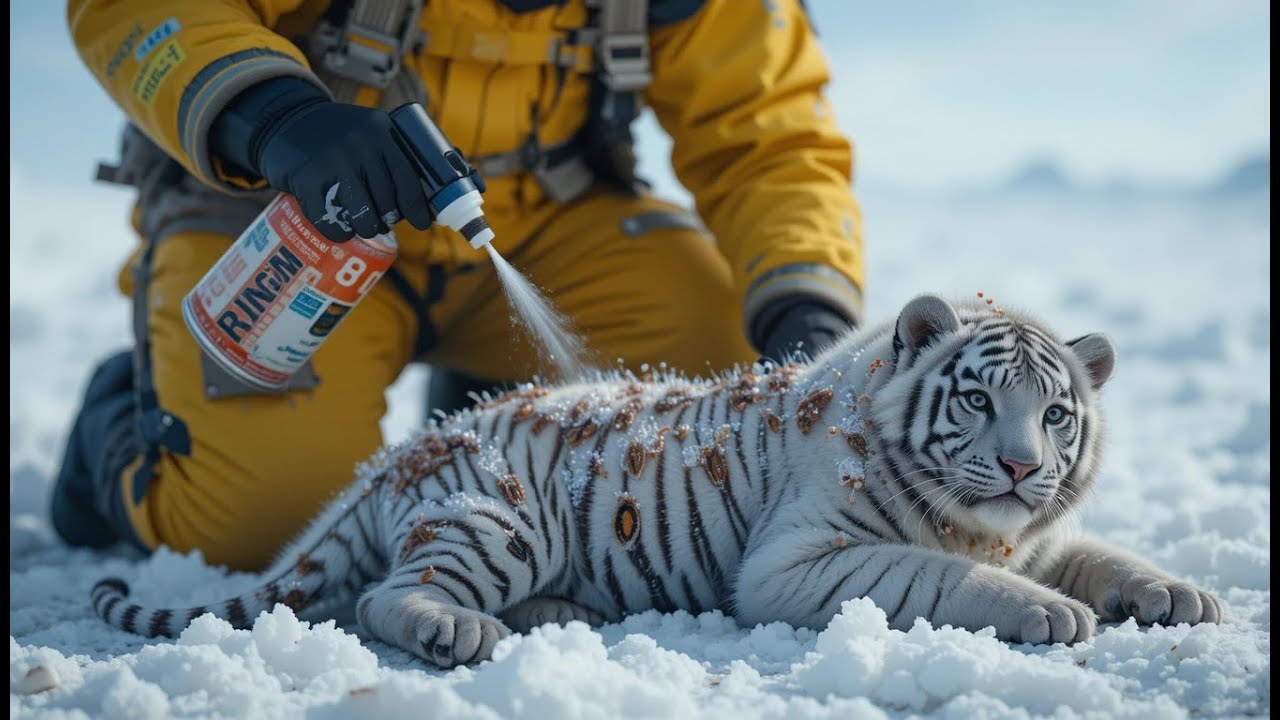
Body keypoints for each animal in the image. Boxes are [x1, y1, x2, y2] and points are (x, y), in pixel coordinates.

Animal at [90, 294, 1223, 667]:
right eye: (978, 401)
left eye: (1056, 413)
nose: (1023, 467)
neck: (985, 522)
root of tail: (404, 453)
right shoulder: (795, 564)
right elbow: (940, 576)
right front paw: (1044, 614)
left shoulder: (1042, 531)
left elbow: (1102, 552)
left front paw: (1179, 593)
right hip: (497, 523)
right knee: (383, 595)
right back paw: (461, 631)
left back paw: (554, 615)